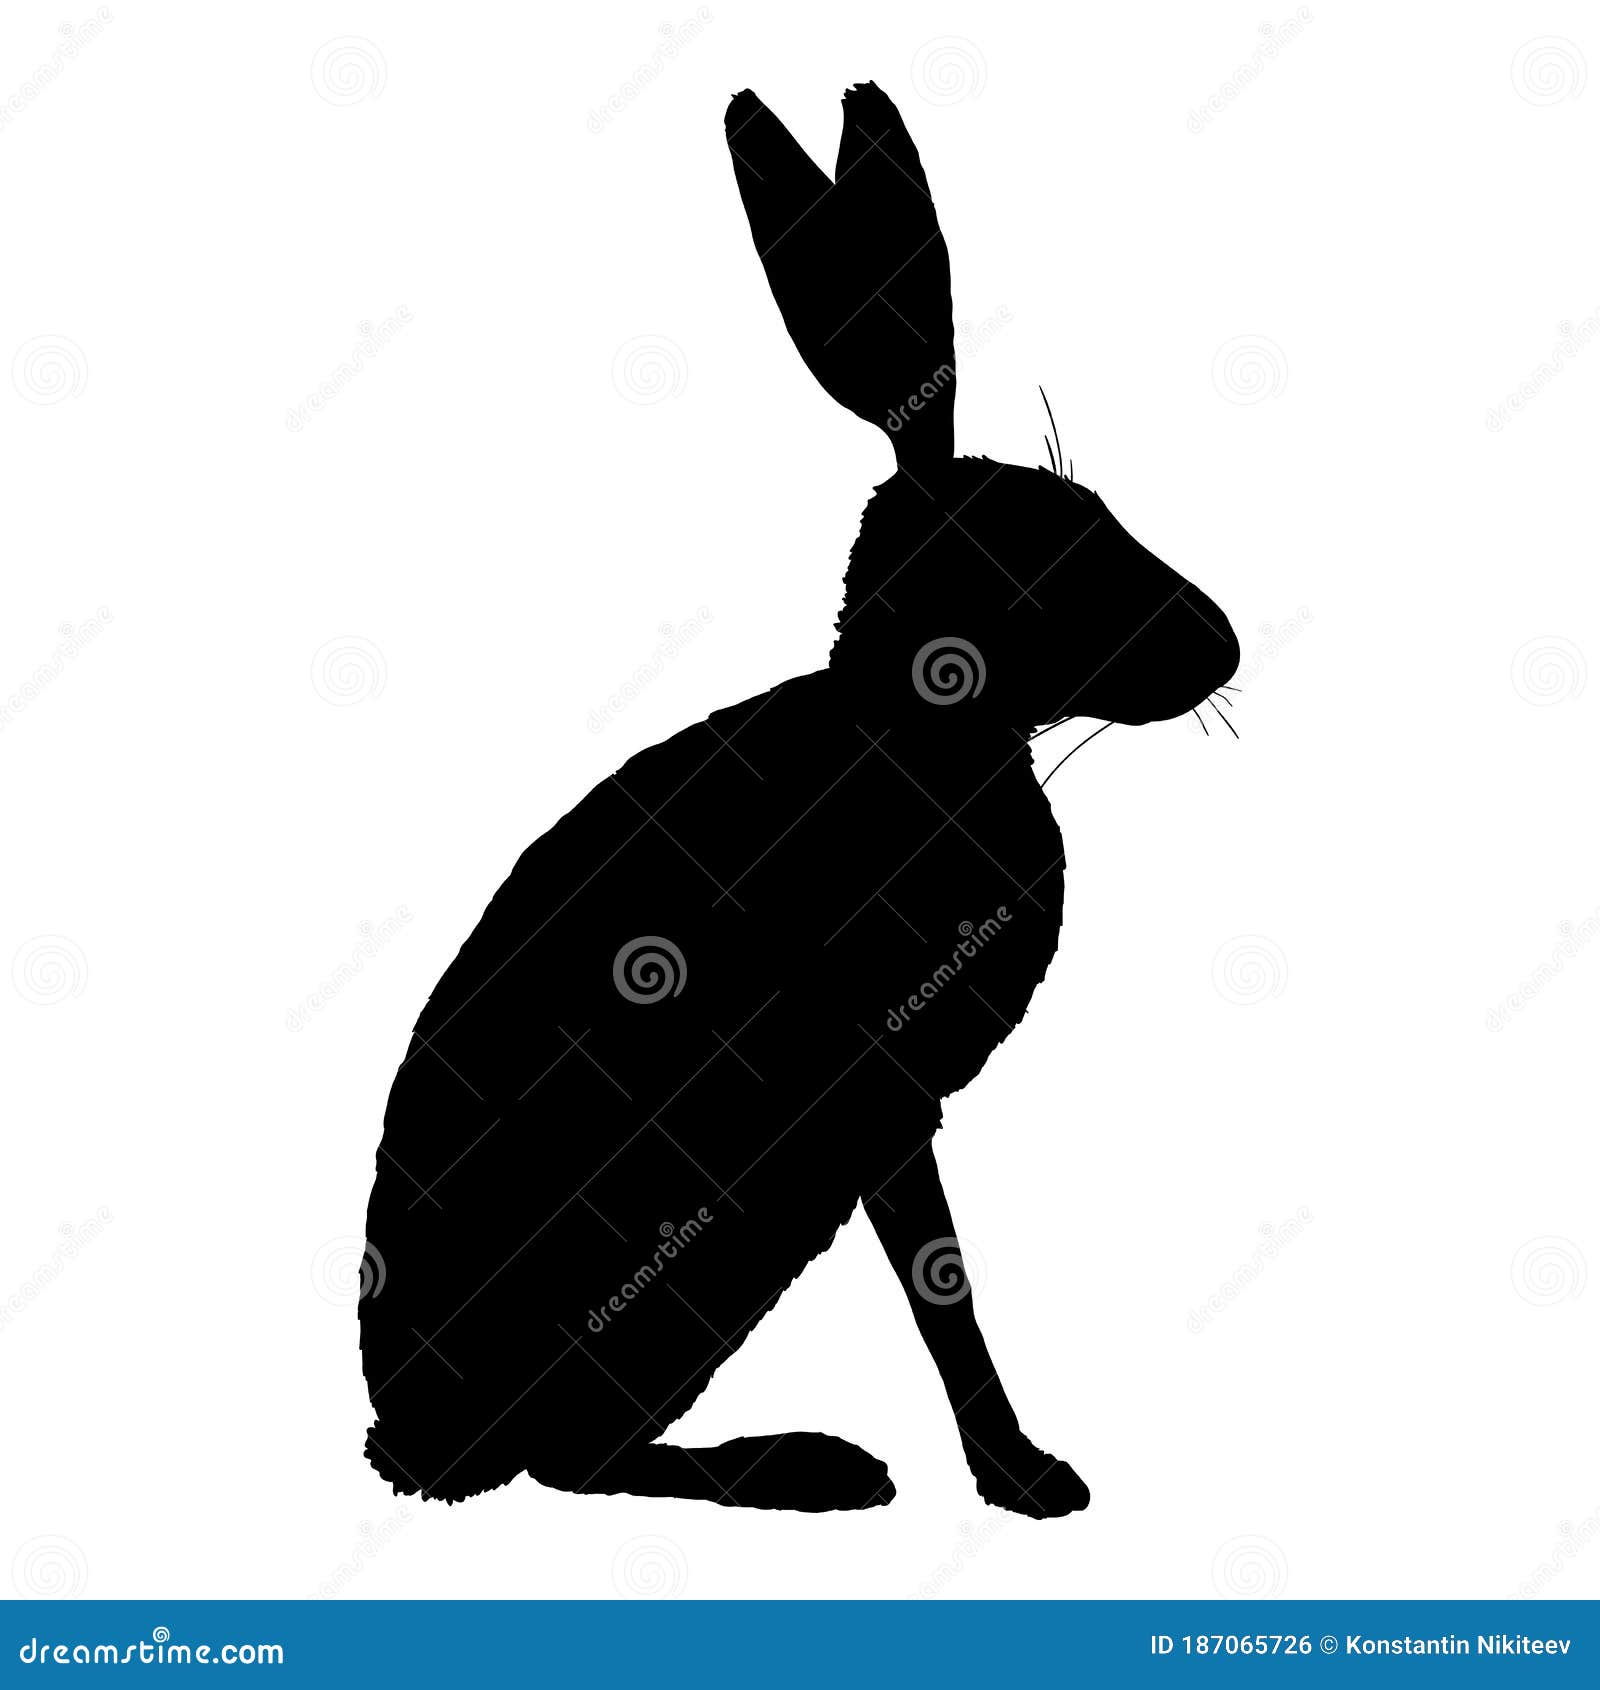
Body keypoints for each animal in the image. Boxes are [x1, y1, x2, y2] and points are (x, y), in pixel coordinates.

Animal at [360, 81, 1239, 1517]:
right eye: (1041, 563)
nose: (1219, 643)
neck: (914, 734)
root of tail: (412, 1446)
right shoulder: (883, 1095)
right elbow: (943, 1280)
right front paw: (1026, 1479)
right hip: (682, 1264)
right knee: (578, 1462)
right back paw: (809, 1467)